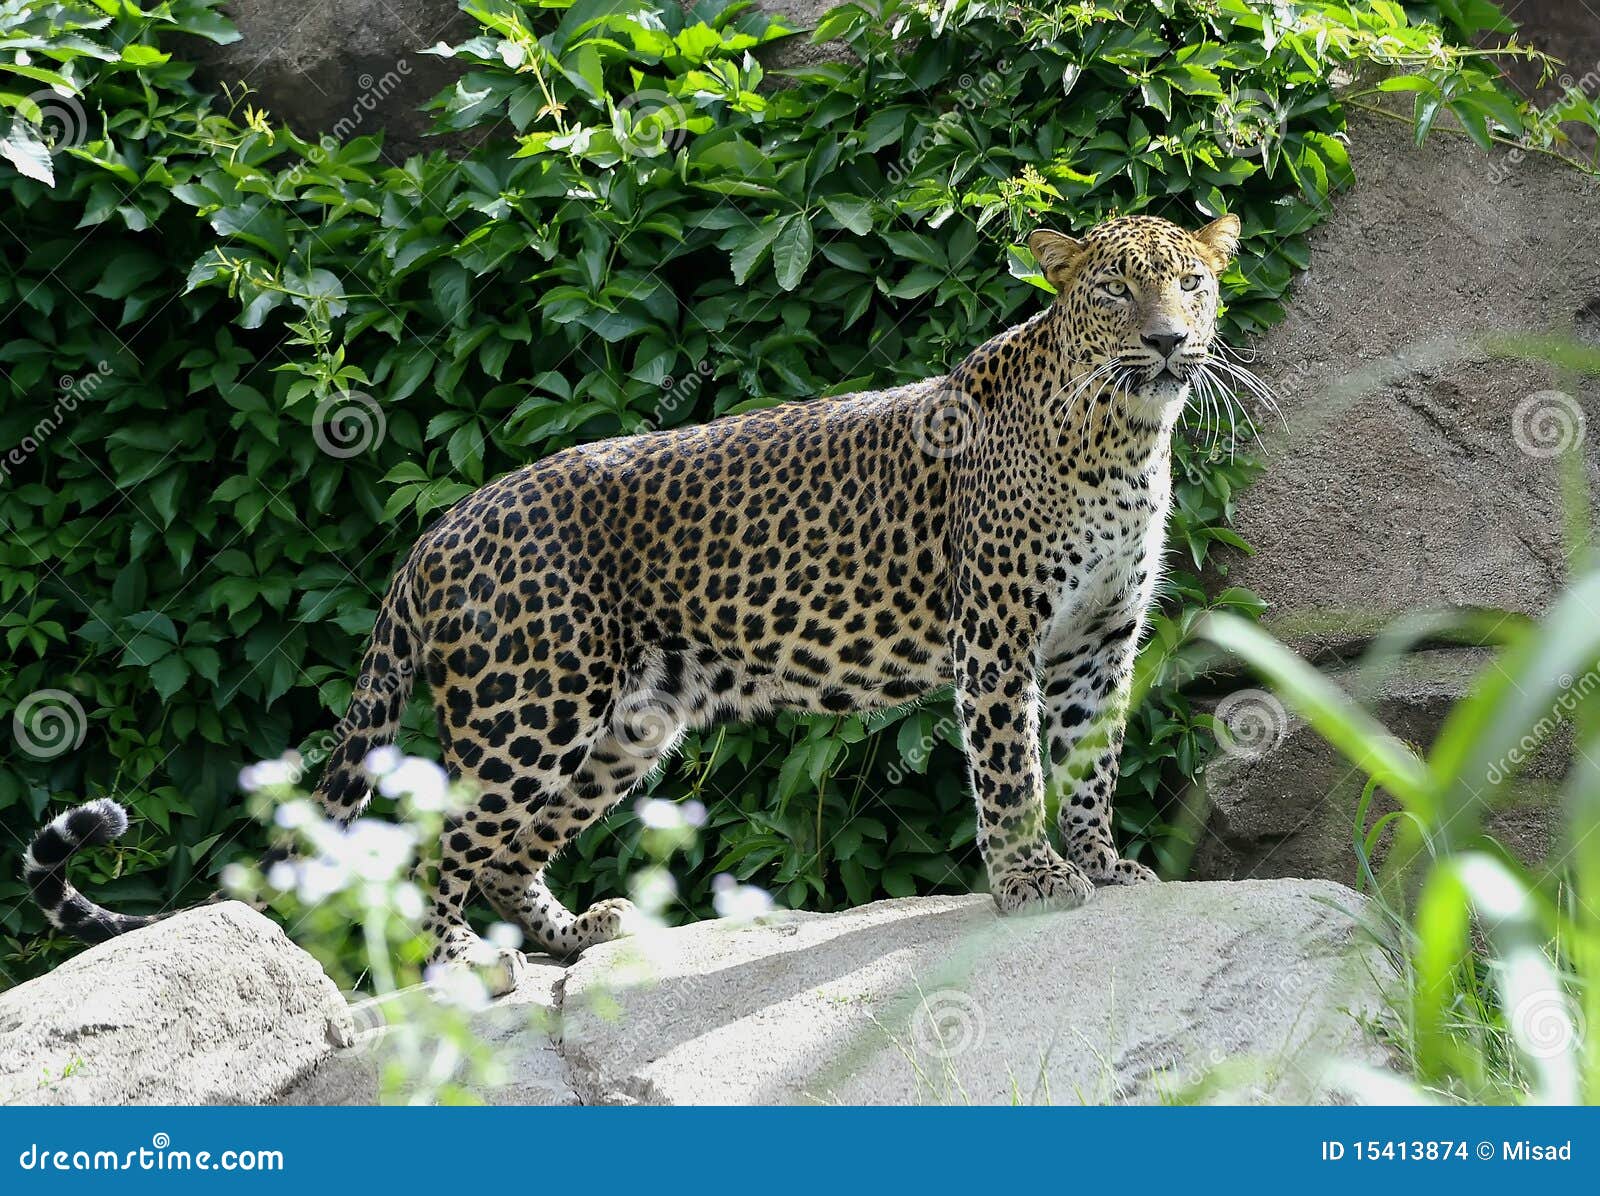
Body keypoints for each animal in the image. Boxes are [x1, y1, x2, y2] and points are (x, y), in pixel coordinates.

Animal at [29, 212, 1242, 987]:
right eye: (1113, 288)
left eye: (1190, 281)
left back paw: (574, 933)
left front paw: (1105, 863)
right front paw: (1031, 877)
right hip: (531, 709)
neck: (1126, 437)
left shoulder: (1098, 641)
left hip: (624, 723)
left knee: (504, 848)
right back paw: (461, 963)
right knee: (440, 841)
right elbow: (1013, 769)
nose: (1170, 339)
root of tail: (435, 531)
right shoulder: (995, 640)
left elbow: (1093, 758)